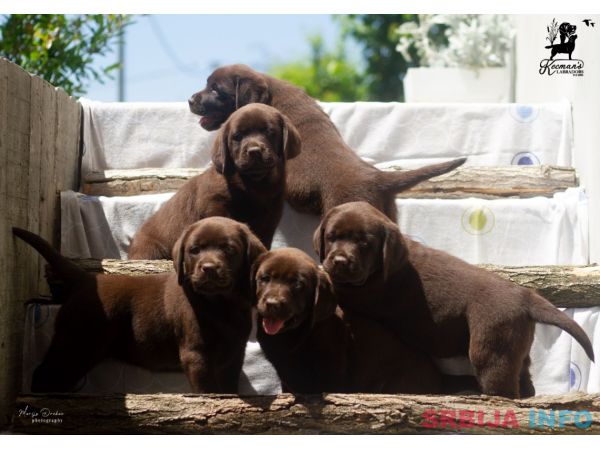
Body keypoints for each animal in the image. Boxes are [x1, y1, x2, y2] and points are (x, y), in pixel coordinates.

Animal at [12, 218, 266, 394]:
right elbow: (208, 391)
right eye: (194, 250)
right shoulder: (196, 354)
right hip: (75, 343)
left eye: (229, 250)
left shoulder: (233, 354)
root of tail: (86, 279)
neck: (221, 305)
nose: (209, 268)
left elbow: (228, 388)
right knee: (43, 375)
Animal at [129, 100, 302, 258]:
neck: (255, 182)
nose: (254, 151)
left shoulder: (271, 215)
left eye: (269, 131)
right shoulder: (215, 204)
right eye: (237, 136)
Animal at [252, 250, 474, 394]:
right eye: (265, 278)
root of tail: (440, 378)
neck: (294, 335)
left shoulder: (333, 366)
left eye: (298, 284)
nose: (272, 304)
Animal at [314, 202, 596, 400]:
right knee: (525, 383)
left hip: (490, 347)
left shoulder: (356, 289)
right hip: (516, 345)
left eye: (364, 243)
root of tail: (525, 296)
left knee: (504, 388)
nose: (340, 261)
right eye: (331, 237)